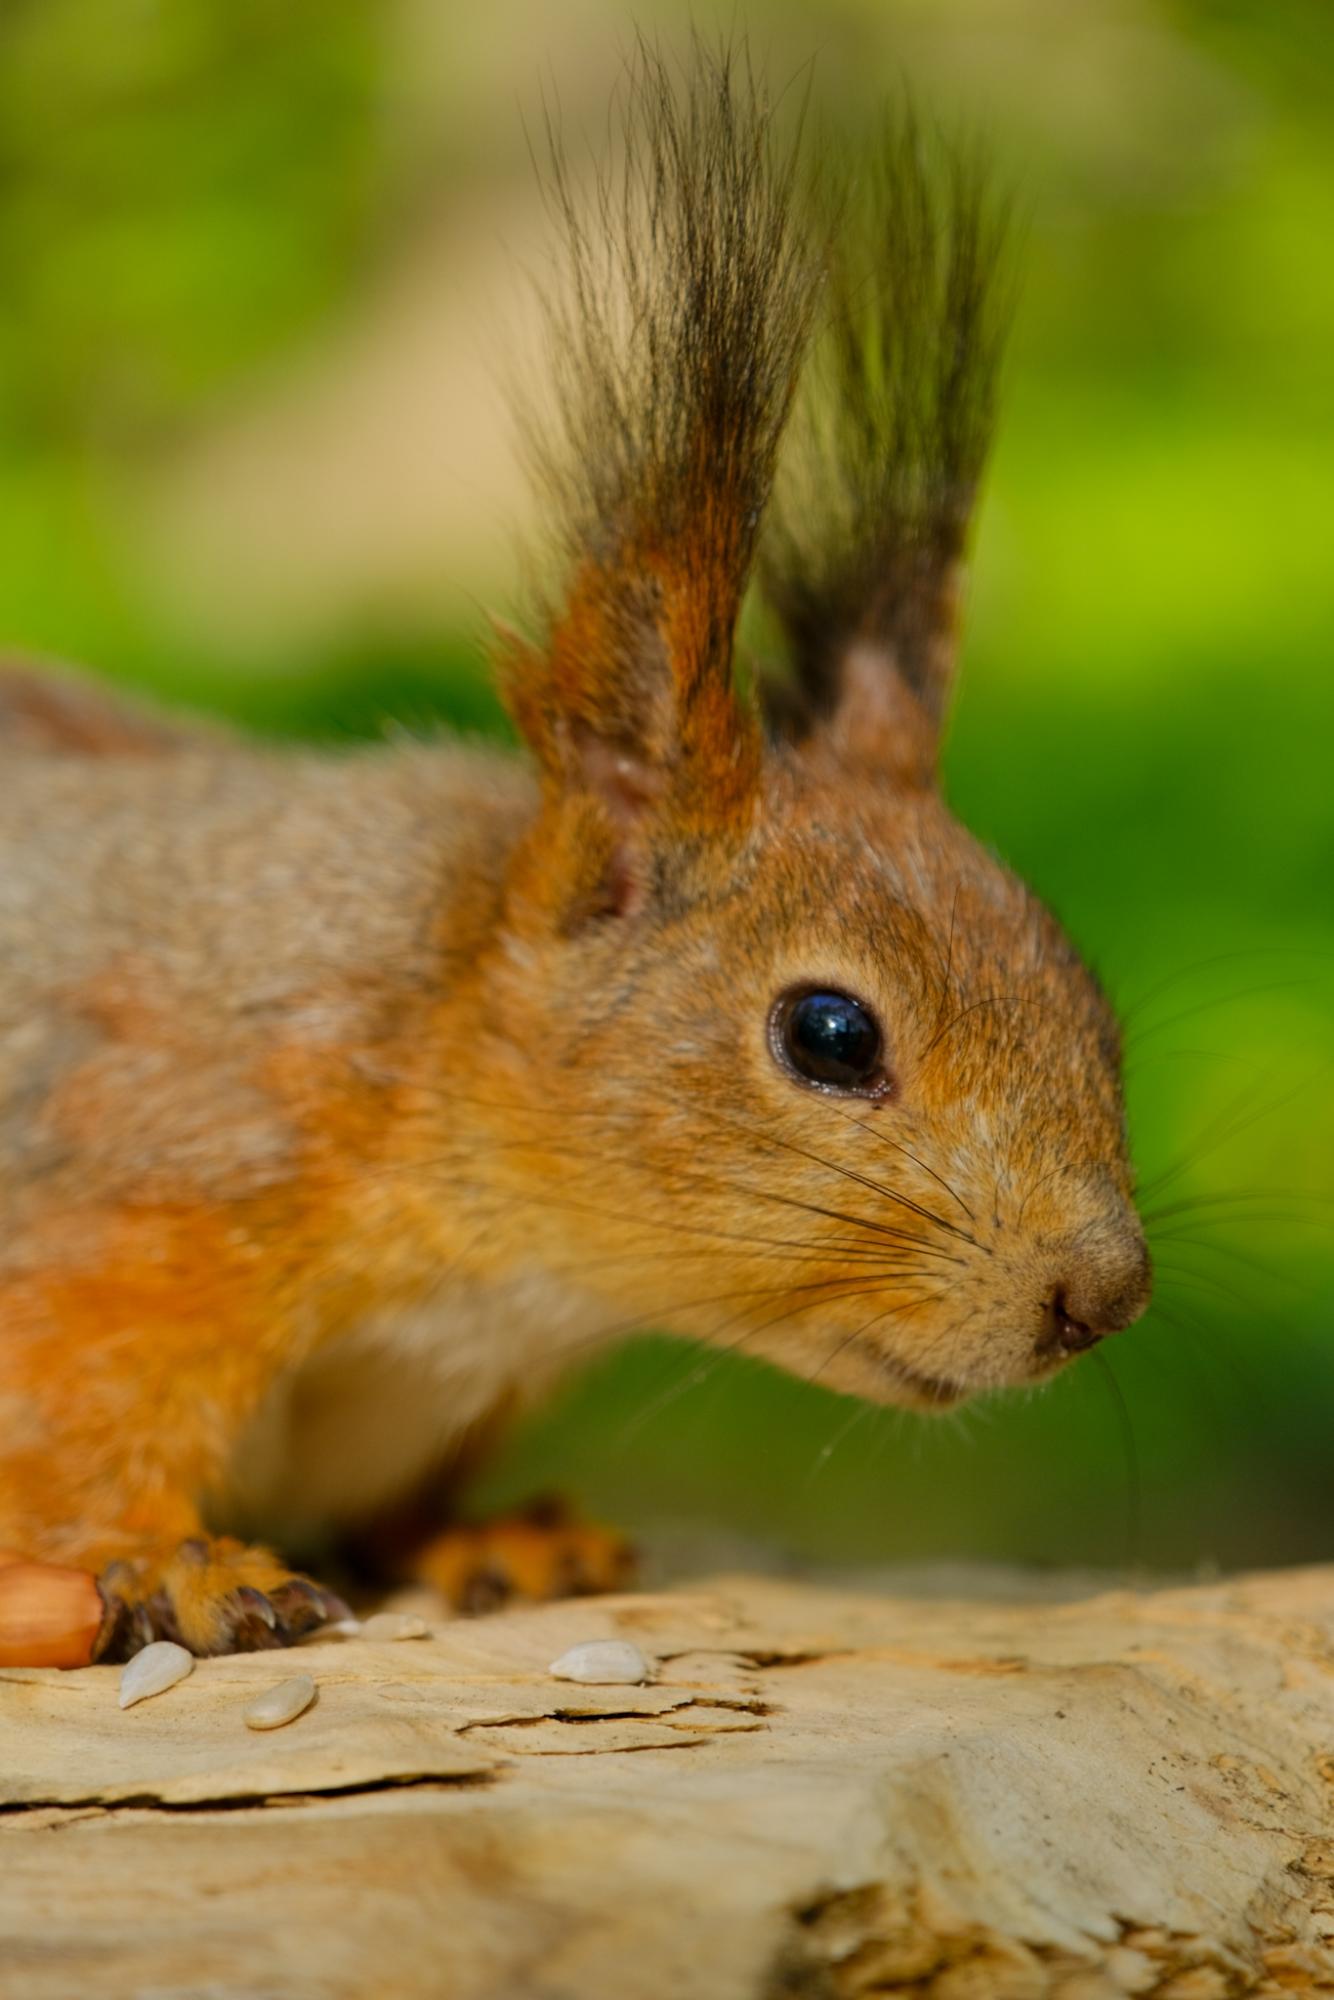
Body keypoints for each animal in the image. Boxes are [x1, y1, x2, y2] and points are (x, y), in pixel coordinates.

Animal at [0, 50, 1152, 1672]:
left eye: (1088, 996)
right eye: (829, 1033)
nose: (1101, 1295)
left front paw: (498, 1538)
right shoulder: (138, 1198)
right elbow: (72, 1443)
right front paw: (166, 1561)